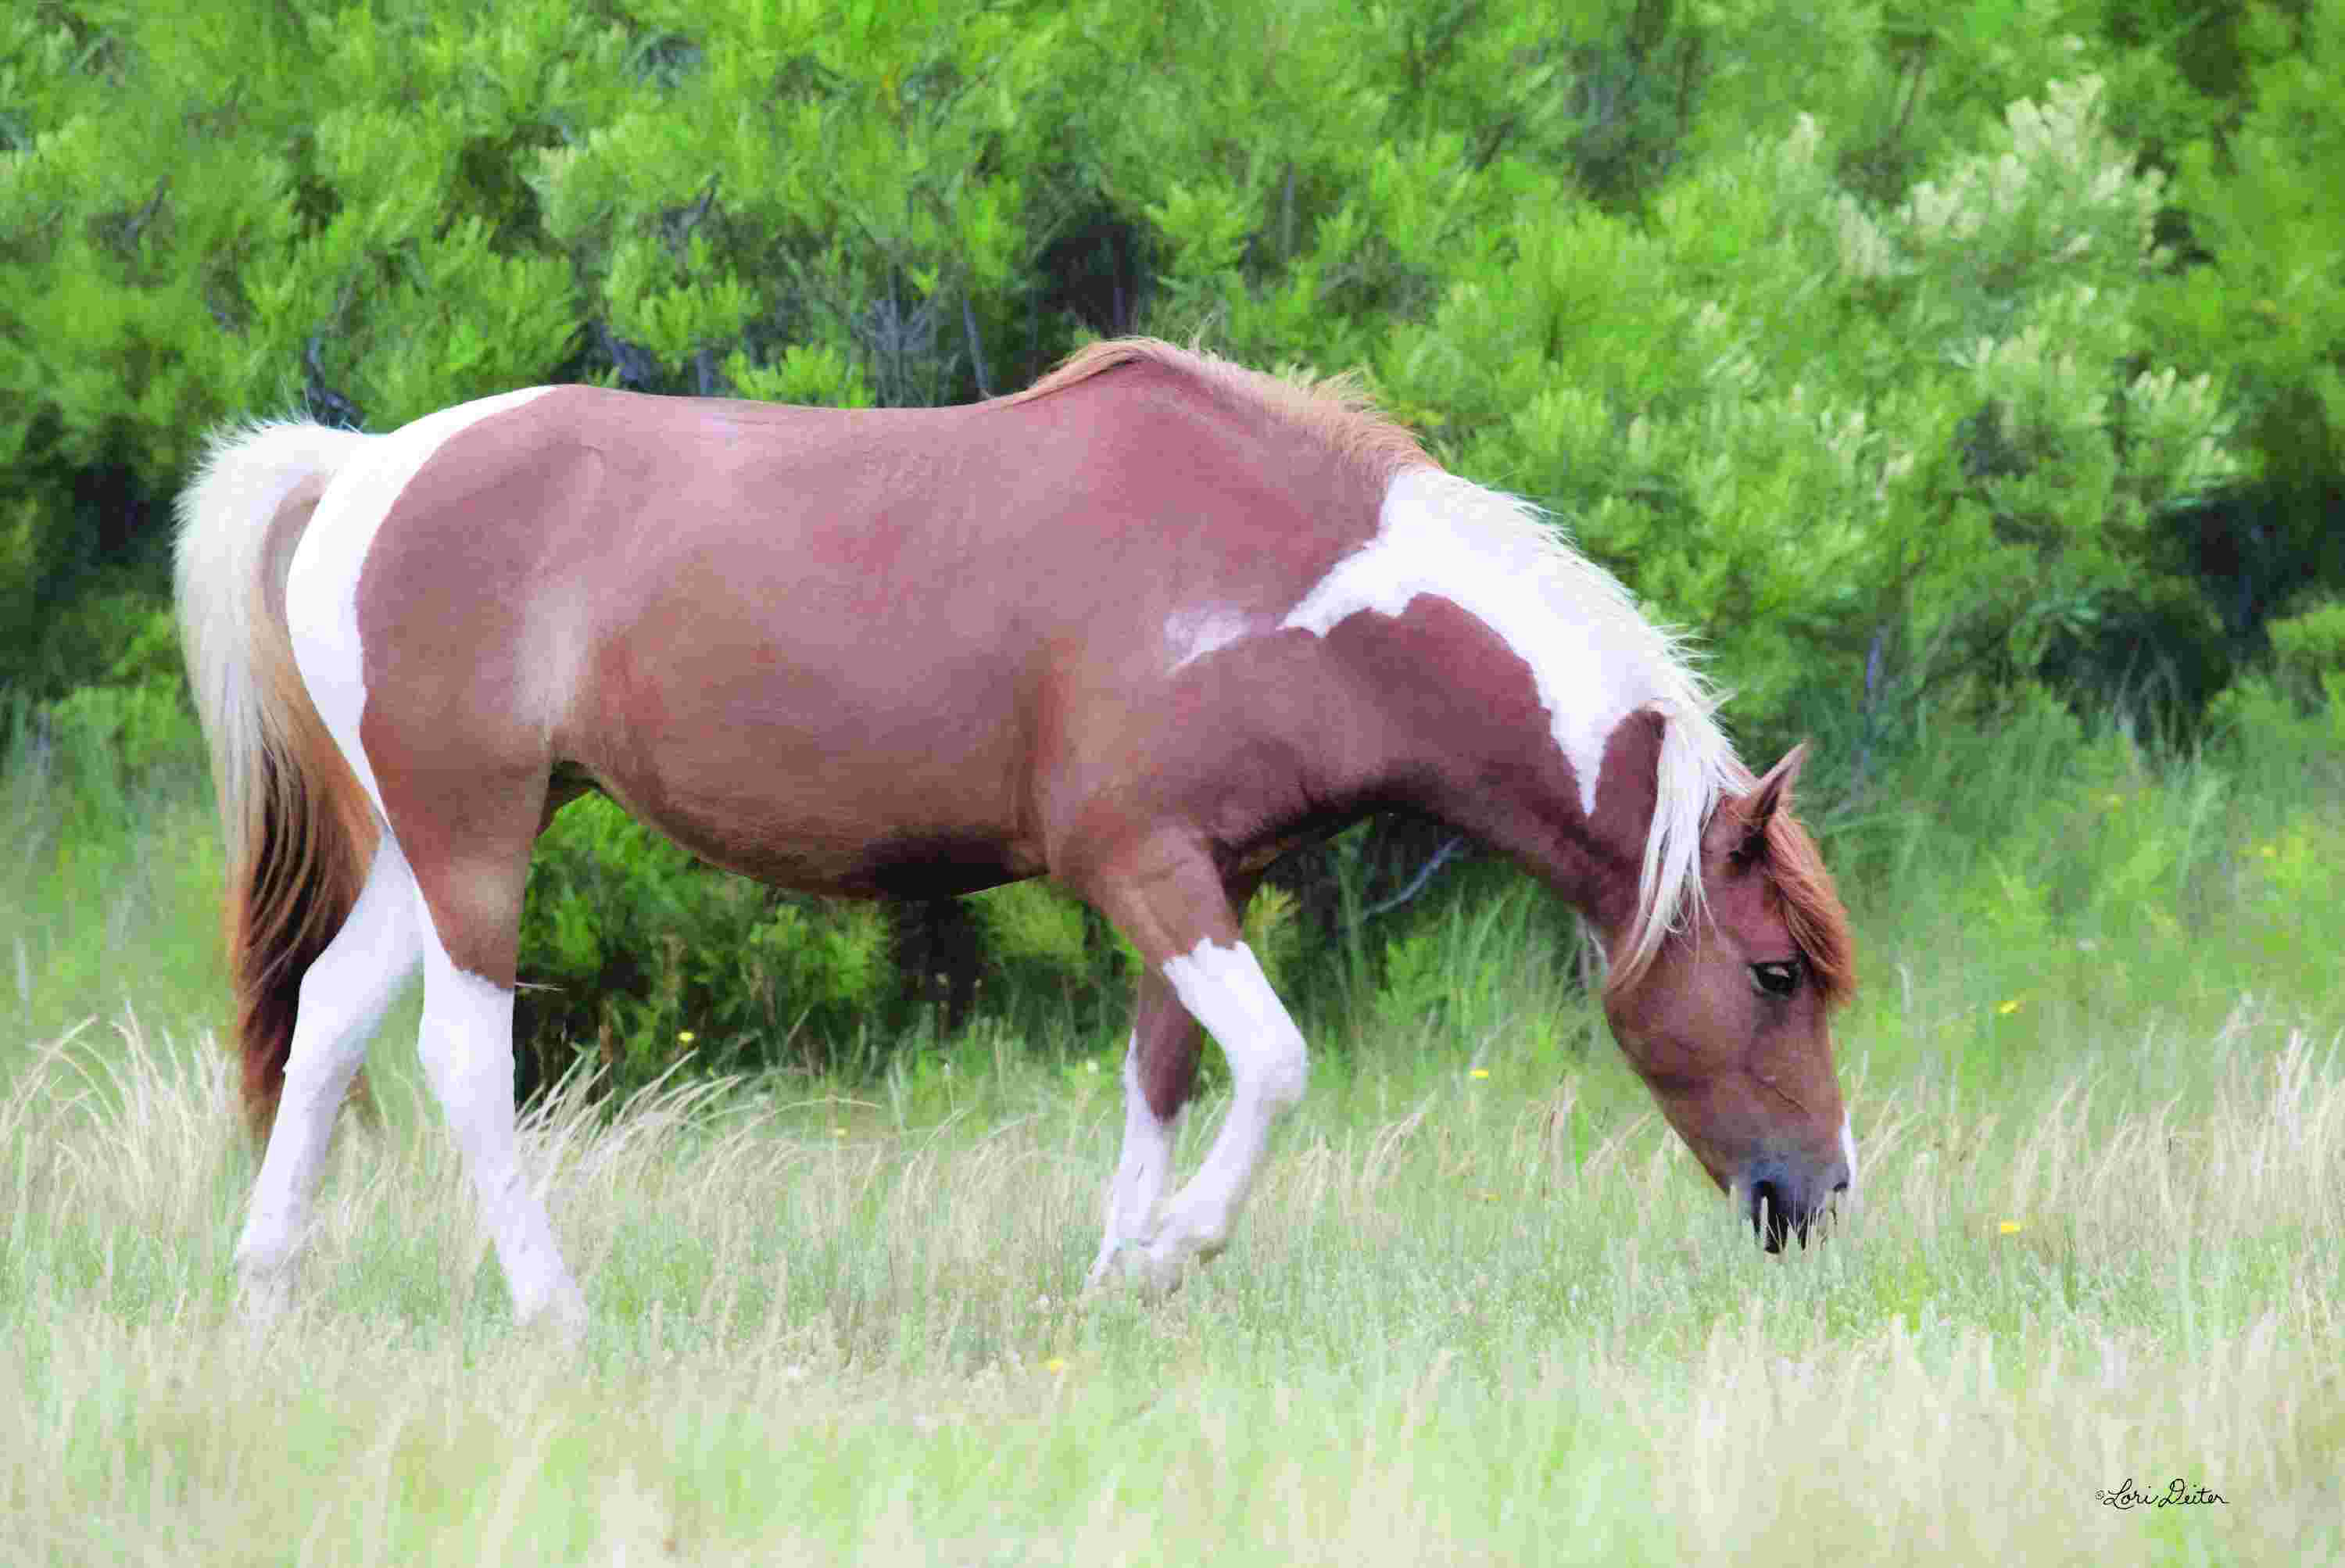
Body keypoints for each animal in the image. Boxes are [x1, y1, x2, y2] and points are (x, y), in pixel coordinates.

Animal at [176, 339, 1857, 1330]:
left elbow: (1164, 1079)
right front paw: (1176, 1252)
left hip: (433, 843)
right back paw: (553, 1310)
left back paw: (266, 1286)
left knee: (327, 1020)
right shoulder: (1145, 870)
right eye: (1776, 974)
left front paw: (1120, 1277)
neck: (1286, 585)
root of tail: (361, 467)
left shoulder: (1204, 877)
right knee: (463, 1058)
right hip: (474, 837)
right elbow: (1275, 1064)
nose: (1821, 1195)